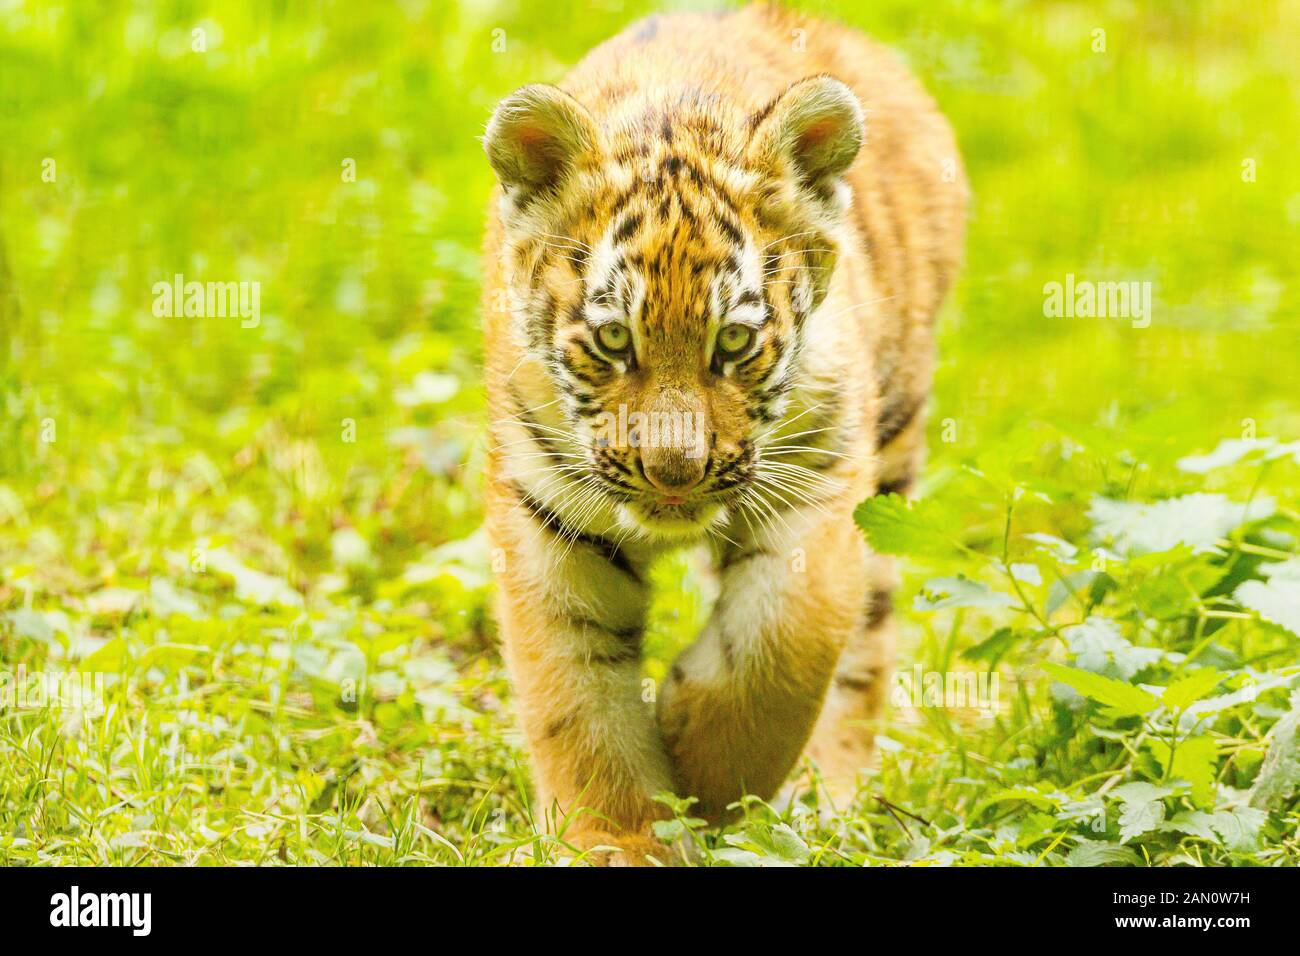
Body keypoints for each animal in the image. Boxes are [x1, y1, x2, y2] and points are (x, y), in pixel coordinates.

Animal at [480, 3, 967, 864]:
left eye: (734, 343)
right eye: (613, 341)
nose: (674, 472)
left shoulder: (821, 486)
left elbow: (784, 642)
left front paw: (701, 775)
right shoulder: (547, 520)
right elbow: (574, 692)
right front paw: (618, 834)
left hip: (895, 454)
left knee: (865, 651)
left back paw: (830, 802)